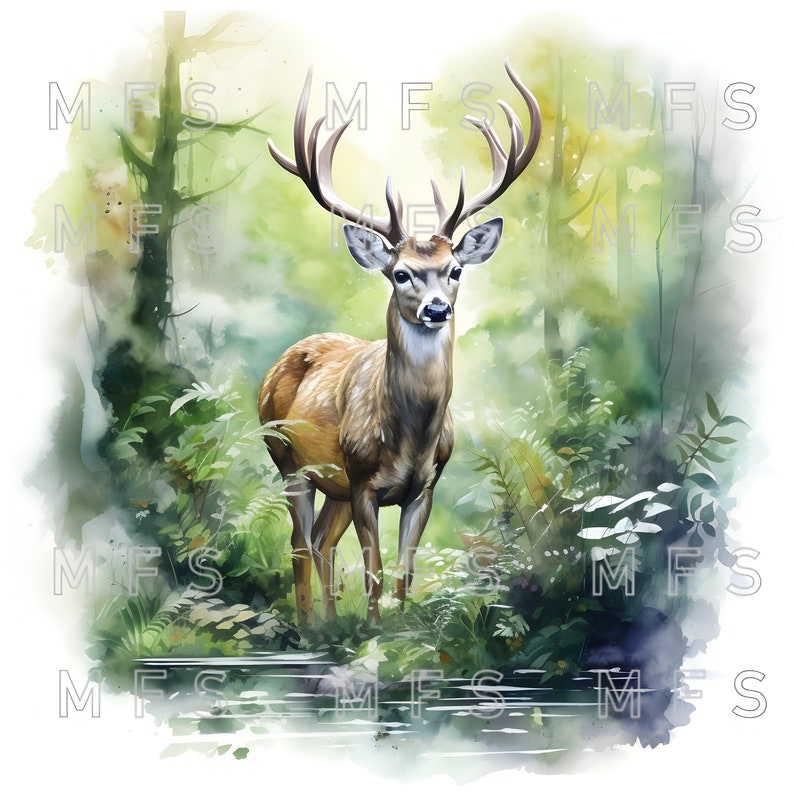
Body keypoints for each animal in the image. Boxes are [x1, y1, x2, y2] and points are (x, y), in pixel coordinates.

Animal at [258, 61, 541, 623]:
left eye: (455, 269)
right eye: (401, 273)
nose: (437, 309)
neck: (410, 436)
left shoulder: (424, 486)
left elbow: (404, 571)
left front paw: (401, 627)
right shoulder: (363, 480)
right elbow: (372, 569)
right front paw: (372, 629)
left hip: (332, 484)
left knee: (321, 541)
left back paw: (329, 625)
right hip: (287, 458)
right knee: (299, 544)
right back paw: (307, 626)